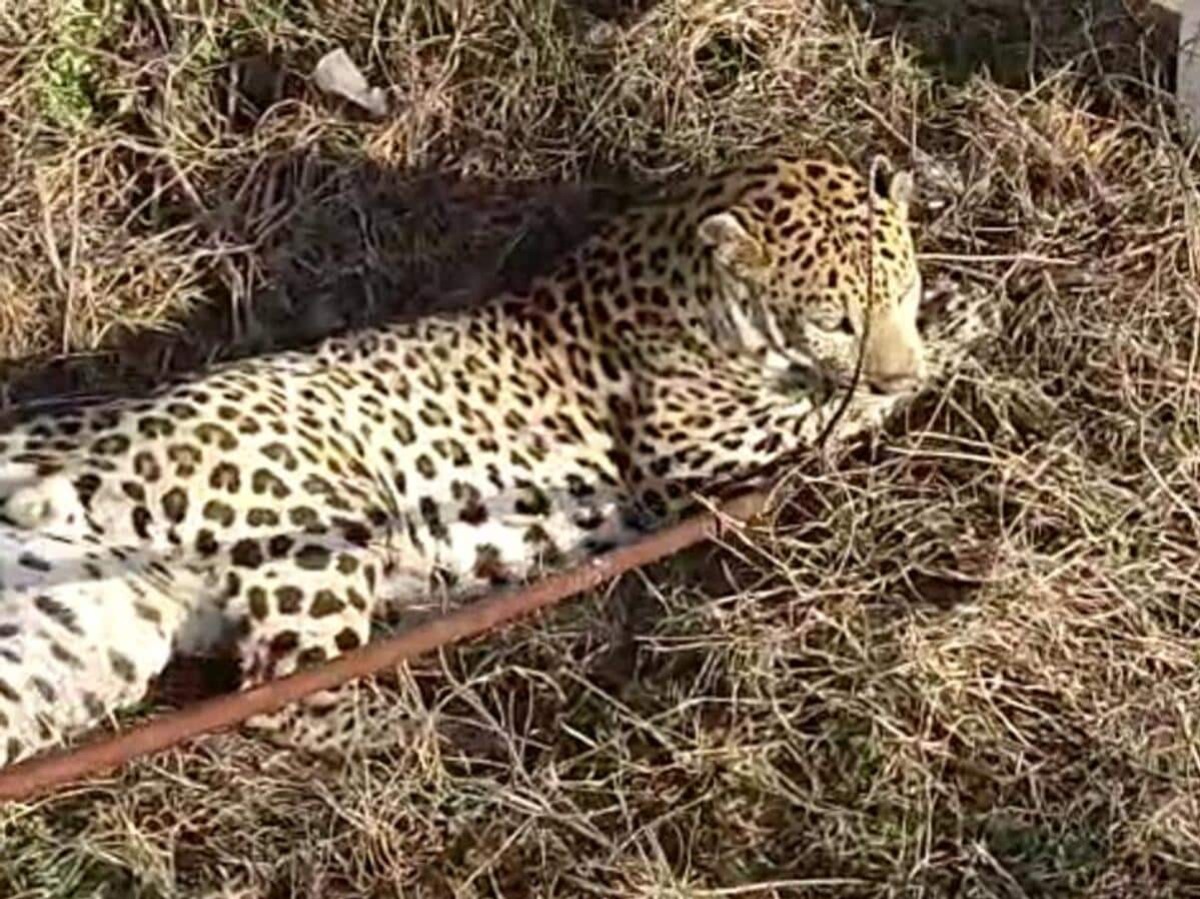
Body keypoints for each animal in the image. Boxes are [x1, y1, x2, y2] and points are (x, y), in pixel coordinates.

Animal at [0, 153, 987, 768]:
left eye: (902, 290)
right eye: (835, 319)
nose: (900, 357)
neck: (687, 274)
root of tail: (75, 434)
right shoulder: (688, 455)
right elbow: (826, 409)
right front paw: (956, 338)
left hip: (77, 632)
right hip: (310, 536)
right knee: (284, 691)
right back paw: (433, 736)